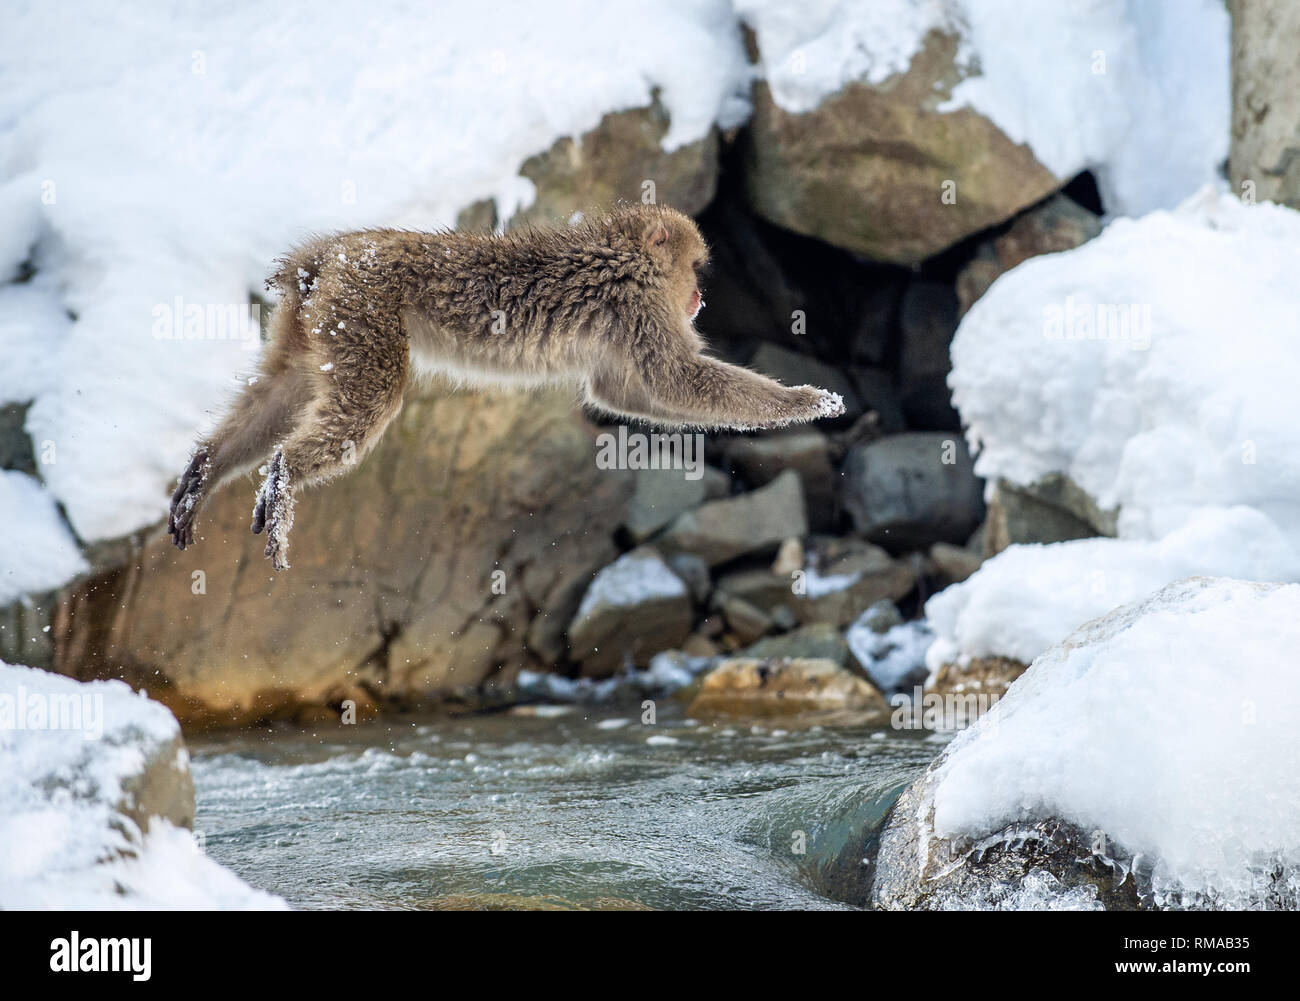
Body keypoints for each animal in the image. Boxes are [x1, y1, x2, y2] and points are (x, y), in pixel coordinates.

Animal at [167, 204, 845, 570]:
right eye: (696, 268)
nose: (700, 297)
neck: (621, 252)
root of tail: (324, 257)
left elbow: (619, 394)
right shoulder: (639, 306)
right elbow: (677, 379)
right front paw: (807, 401)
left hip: (313, 322)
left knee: (282, 388)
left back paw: (204, 471)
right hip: (362, 313)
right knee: (368, 400)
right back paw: (283, 479)